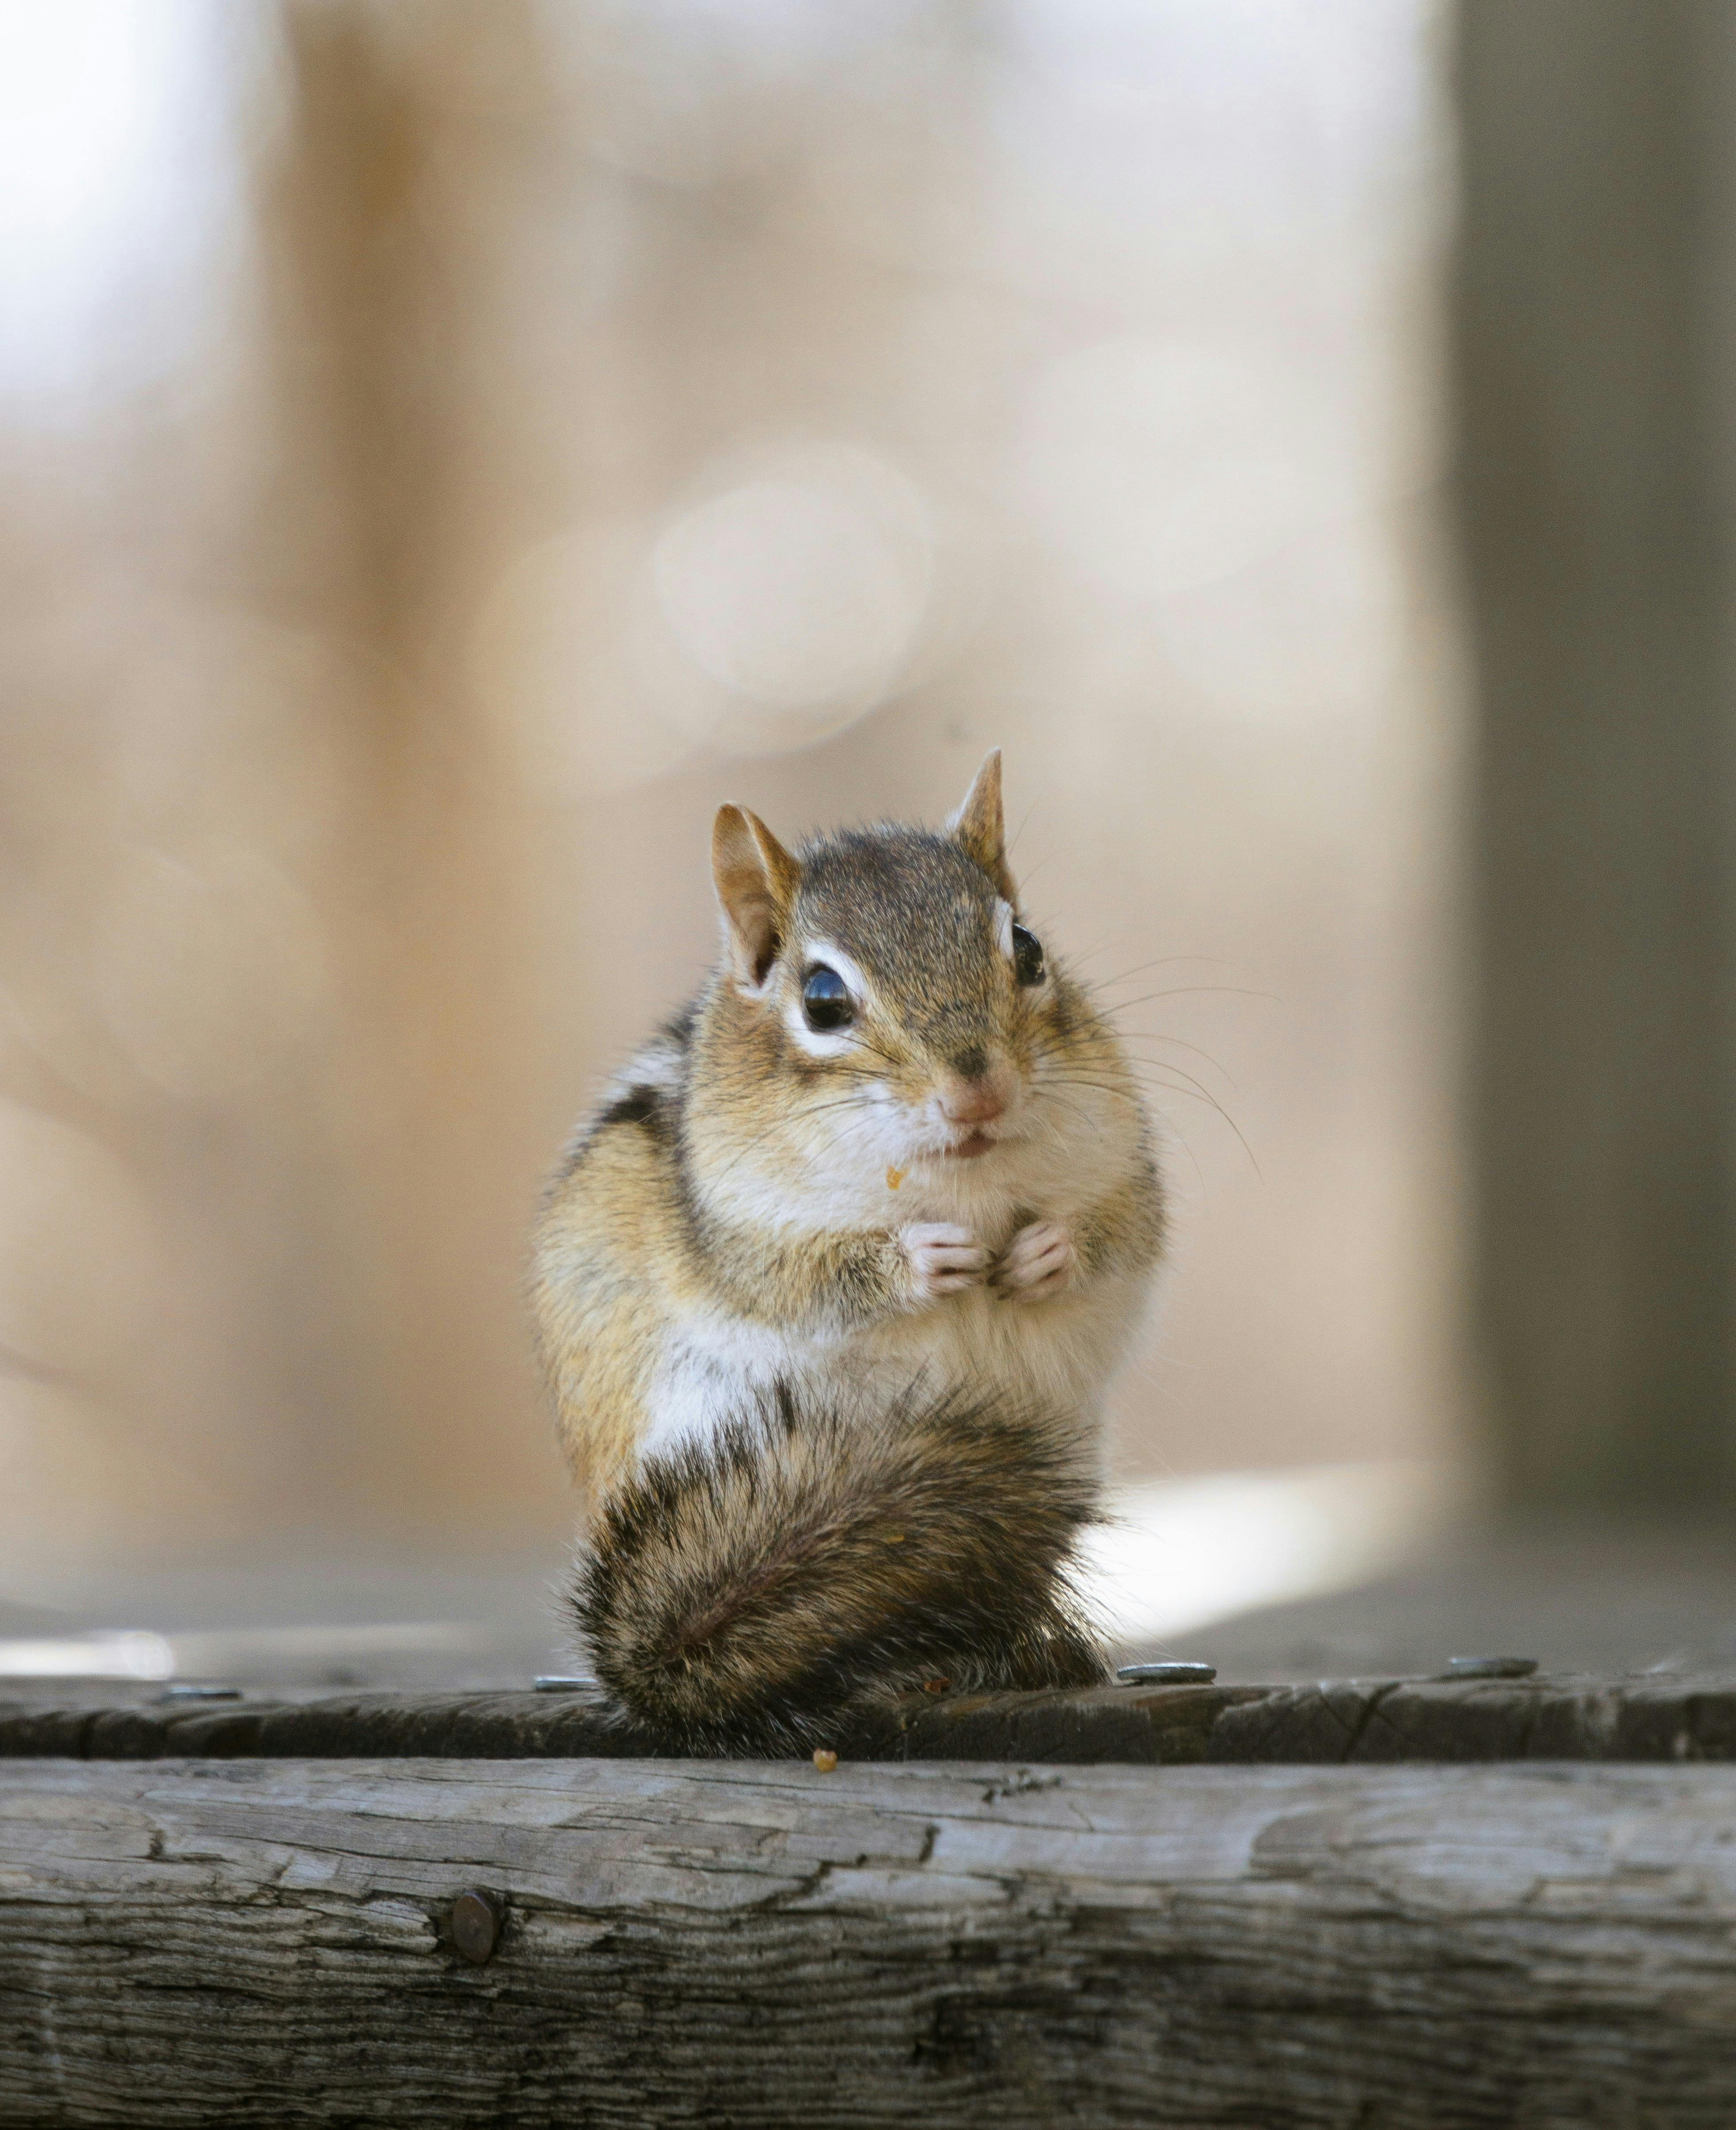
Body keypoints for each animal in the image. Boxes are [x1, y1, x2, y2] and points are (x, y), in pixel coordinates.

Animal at [530, 751, 1165, 1751]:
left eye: (1026, 949)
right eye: (822, 1000)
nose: (978, 1092)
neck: (960, 1181)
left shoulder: (1125, 1166)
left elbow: (1120, 1226)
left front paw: (1046, 1252)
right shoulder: (738, 1229)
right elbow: (805, 1277)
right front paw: (922, 1261)